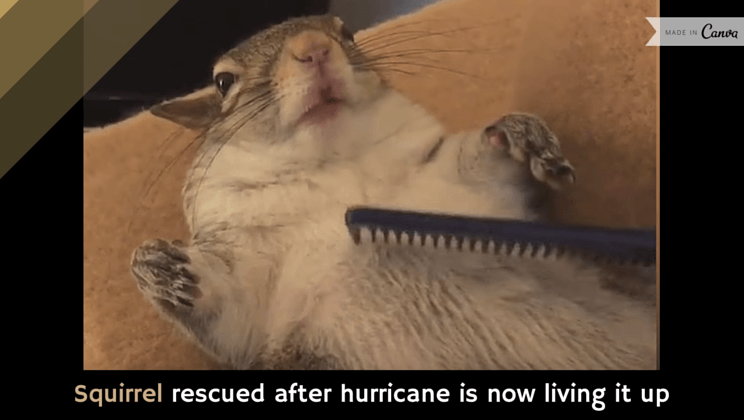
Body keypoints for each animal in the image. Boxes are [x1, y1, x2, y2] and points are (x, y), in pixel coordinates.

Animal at [130, 15, 656, 370]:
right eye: (223, 82)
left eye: (347, 33)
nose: (313, 48)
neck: (335, 166)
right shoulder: (258, 295)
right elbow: (231, 309)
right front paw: (161, 268)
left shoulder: (460, 194)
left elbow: (486, 167)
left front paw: (521, 134)